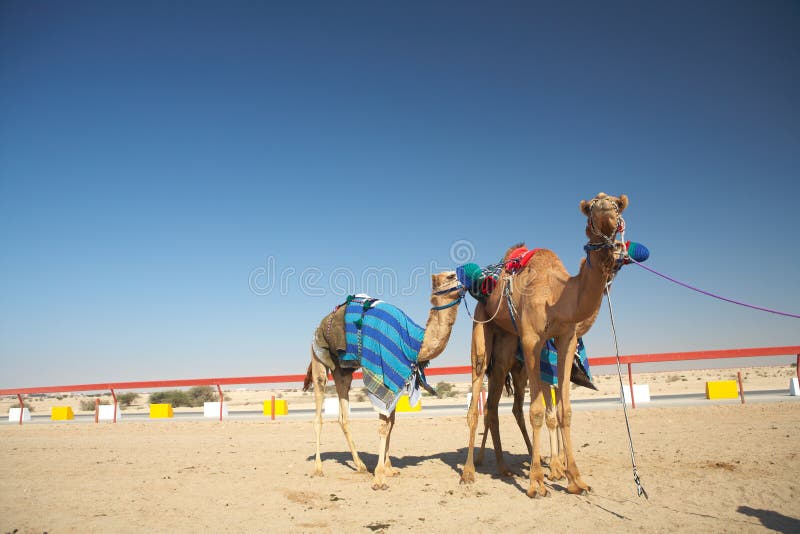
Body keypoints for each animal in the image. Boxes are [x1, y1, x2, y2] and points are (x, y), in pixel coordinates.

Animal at [303, 271, 463, 490]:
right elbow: (382, 425)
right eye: (450, 276)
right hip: (318, 356)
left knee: (343, 417)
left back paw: (360, 465)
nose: (465, 284)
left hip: (343, 370)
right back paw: (319, 468)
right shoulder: (381, 371)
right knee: (318, 412)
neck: (413, 341)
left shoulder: (396, 379)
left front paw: (389, 468)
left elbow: (391, 423)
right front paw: (379, 478)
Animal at [461, 192, 629, 498]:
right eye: (591, 210)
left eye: (618, 207)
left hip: (506, 346)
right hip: (482, 326)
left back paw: (503, 468)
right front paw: (538, 482)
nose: (605, 211)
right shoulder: (531, 341)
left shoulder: (566, 340)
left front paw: (576, 480)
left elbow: (565, 411)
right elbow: (538, 411)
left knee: (493, 406)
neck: (558, 297)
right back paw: (468, 472)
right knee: (476, 392)